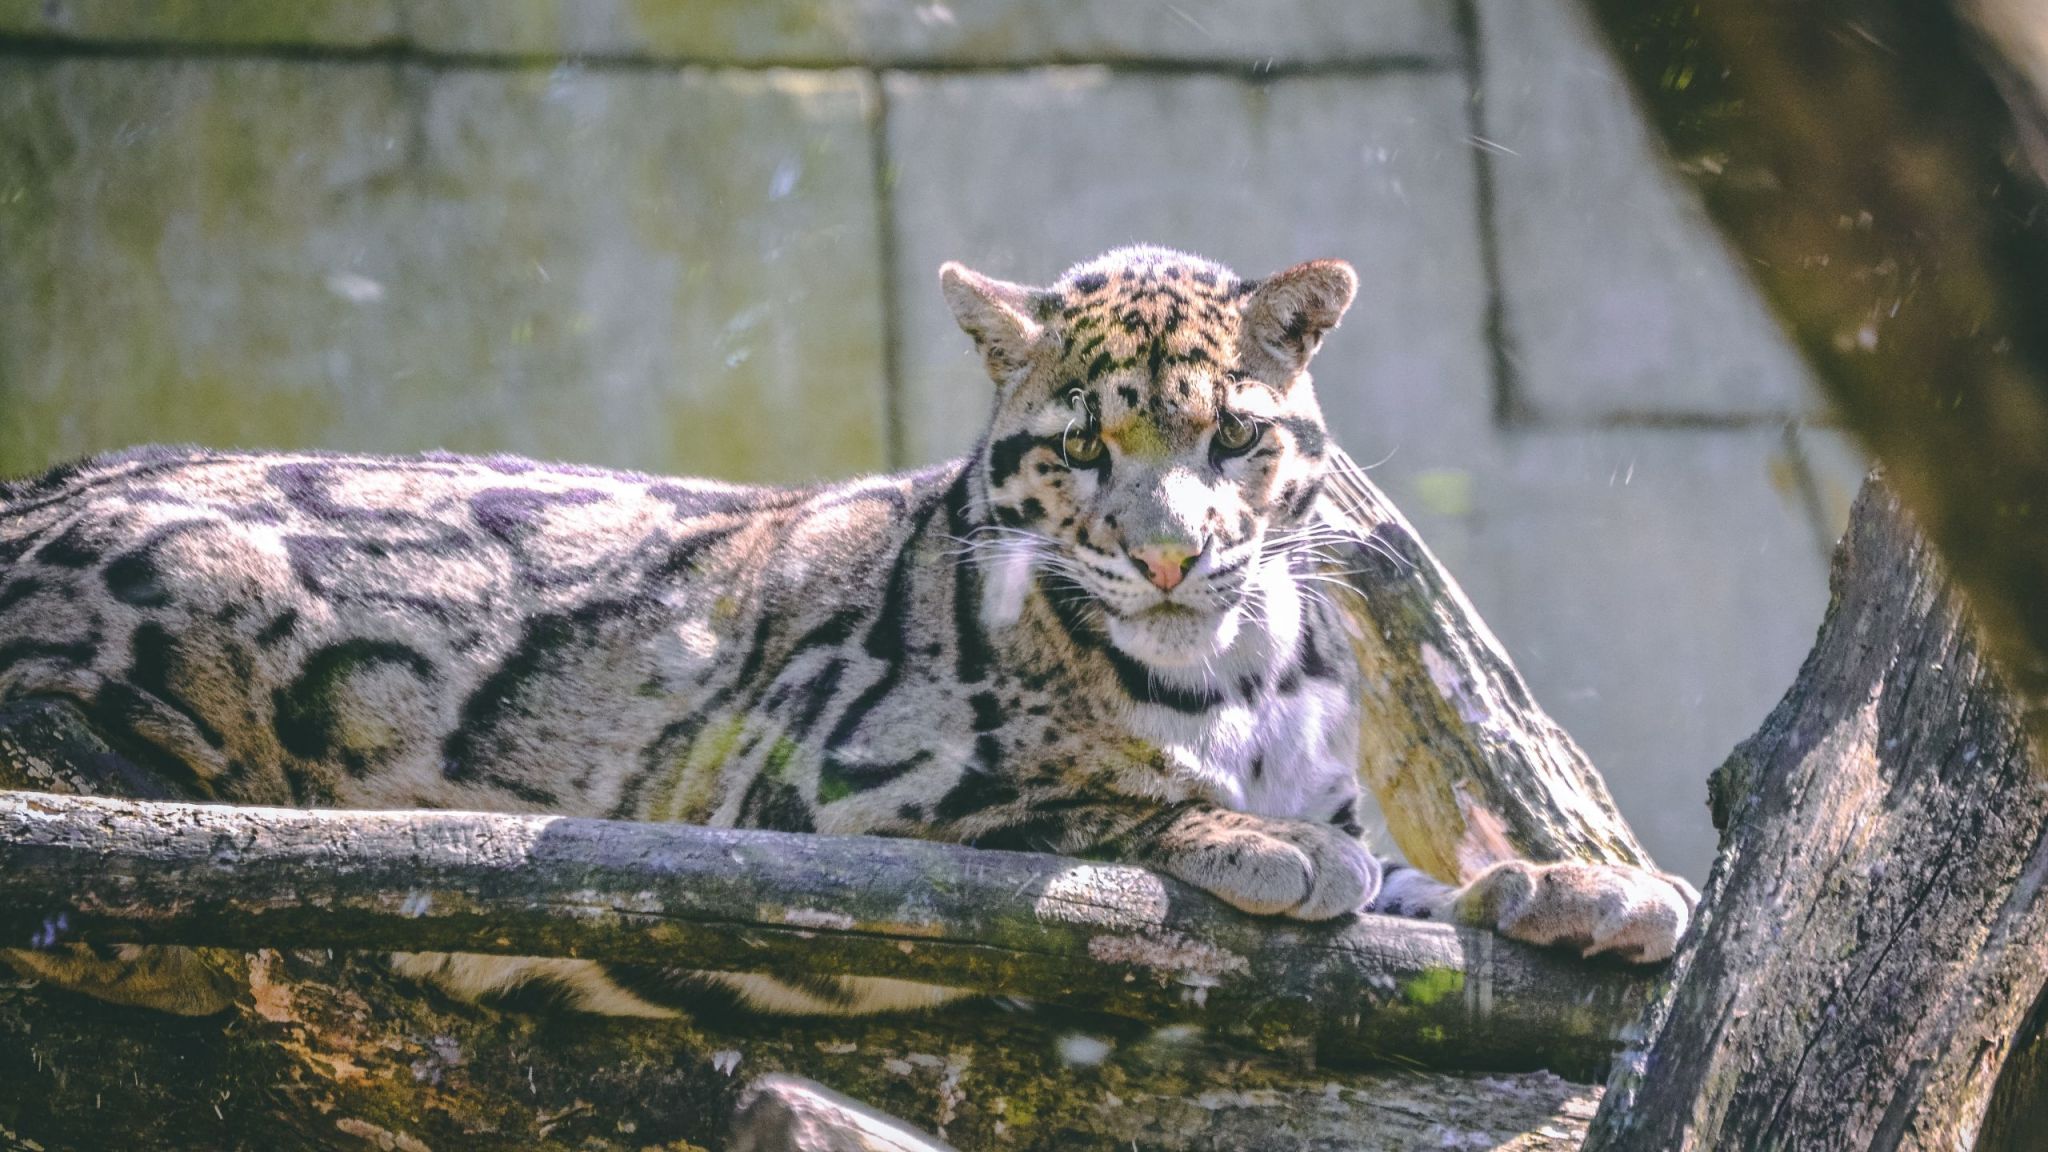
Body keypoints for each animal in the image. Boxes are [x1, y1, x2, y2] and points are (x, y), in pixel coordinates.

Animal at [0, 245, 1695, 1021]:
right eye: (1084, 450)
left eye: (1232, 439)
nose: (1168, 555)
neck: (1233, 672)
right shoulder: (805, 784)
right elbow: (1077, 794)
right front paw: (1250, 840)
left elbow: (1427, 878)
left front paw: (1584, 888)